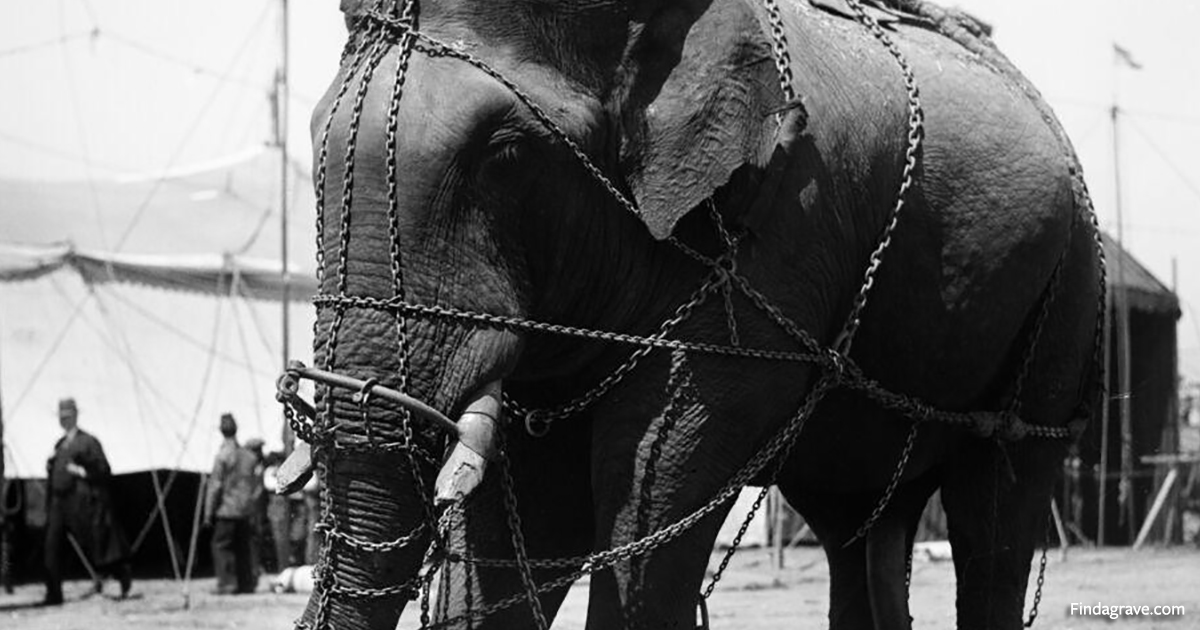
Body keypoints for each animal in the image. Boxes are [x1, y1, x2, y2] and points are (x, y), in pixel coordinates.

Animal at [285, 0, 1105, 628]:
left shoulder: (776, 243)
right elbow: (527, 508)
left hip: (1067, 298)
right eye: (316, 137)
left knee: (997, 508)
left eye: (507, 152)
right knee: (857, 522)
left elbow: (655, 475)